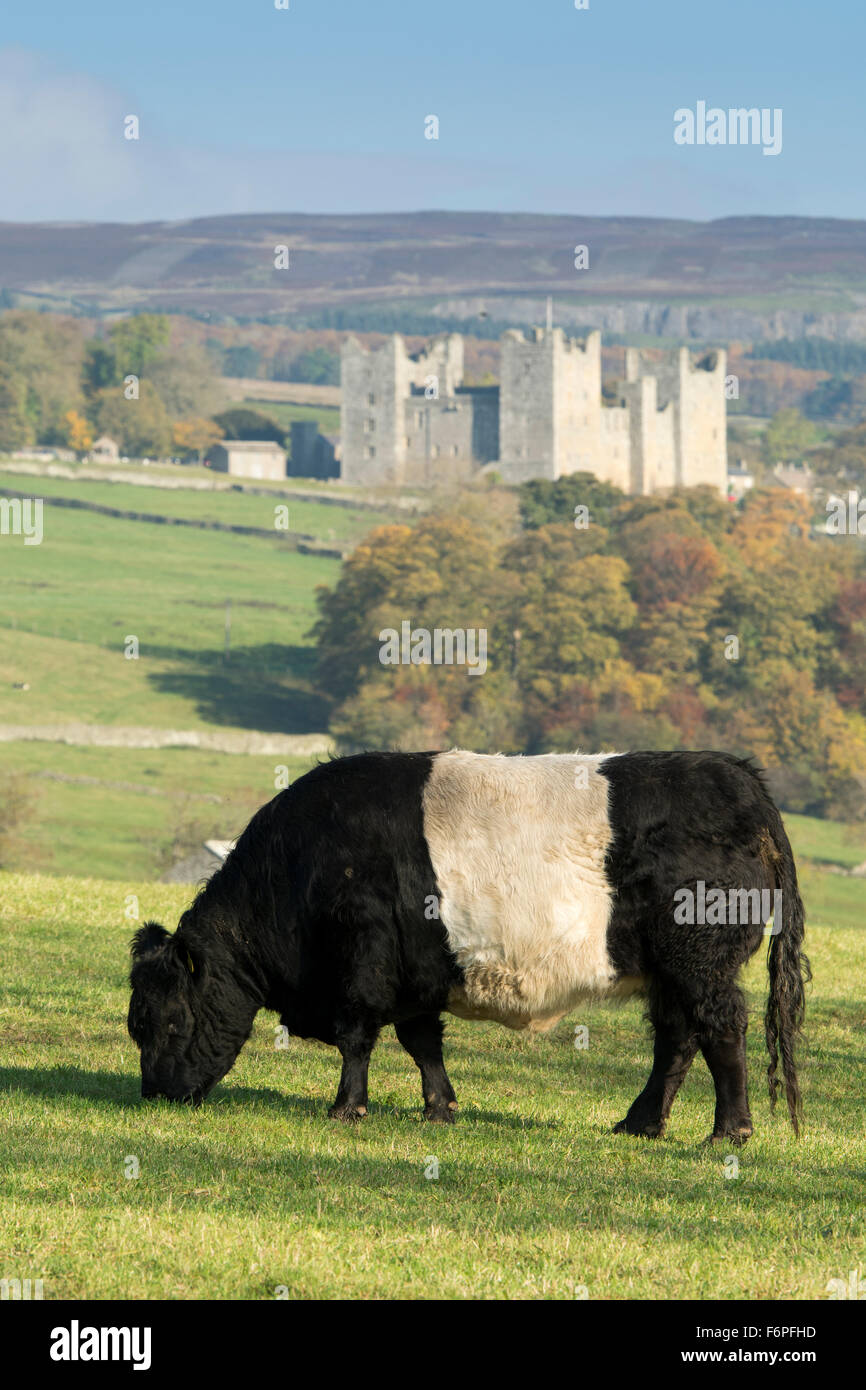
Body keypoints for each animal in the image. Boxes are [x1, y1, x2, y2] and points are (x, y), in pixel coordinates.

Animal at [128, 748, 809, 1142]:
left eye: (170, 1020)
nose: (155, 1094)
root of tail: (742, 781)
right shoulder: (417, 972)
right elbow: (421, 1042)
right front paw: (440, 1108)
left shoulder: (362, 965)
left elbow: (358, 1039)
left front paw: (347, 1109)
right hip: (670, 970)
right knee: (677, 1039)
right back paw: (638, 1125)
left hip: (700, 961)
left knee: (721, 1029)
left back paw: (728, 1132)